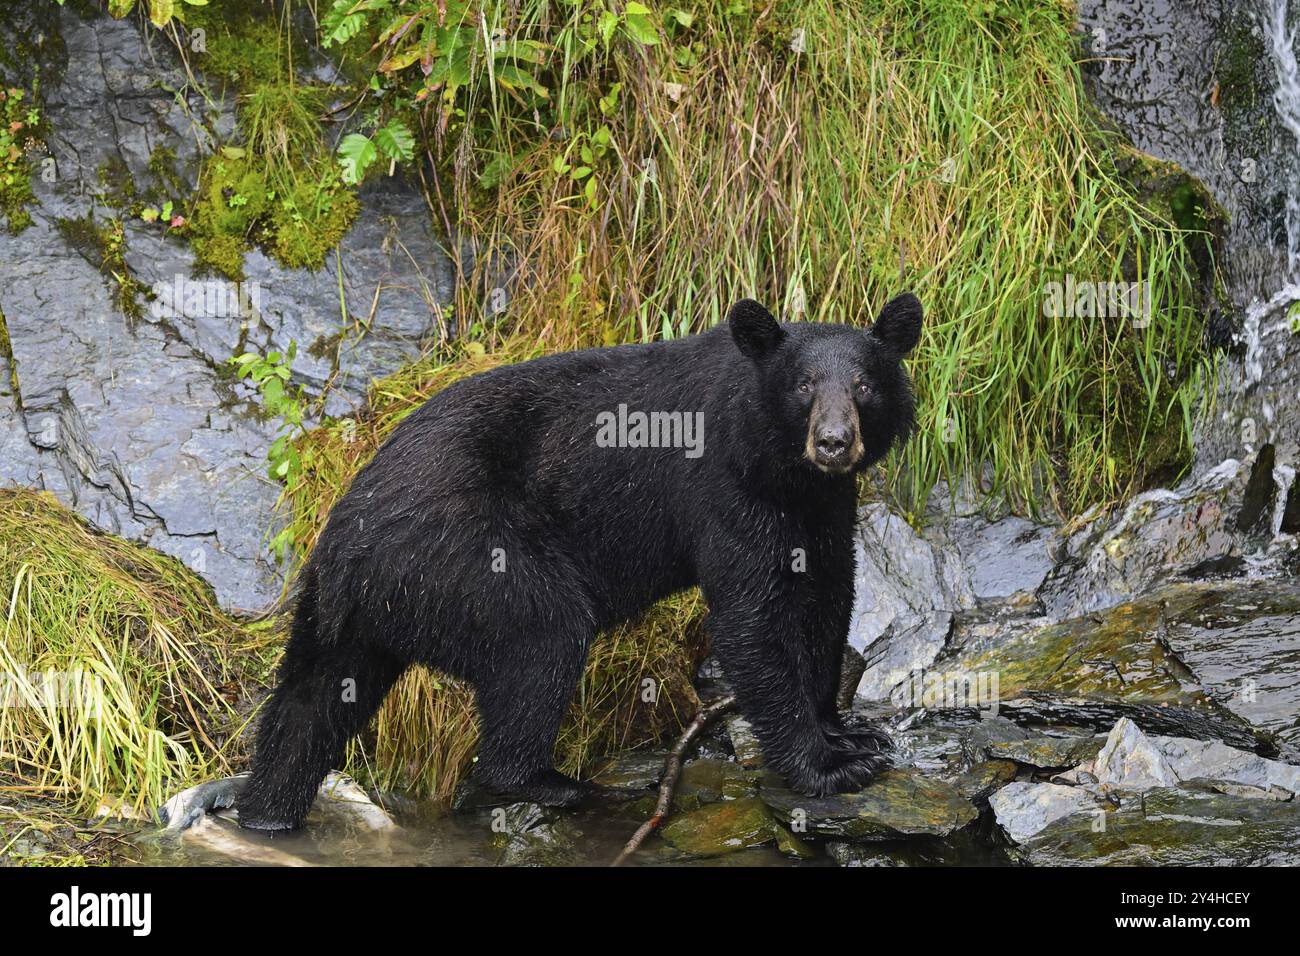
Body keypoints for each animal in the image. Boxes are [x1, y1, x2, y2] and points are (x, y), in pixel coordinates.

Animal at [235, 293, 923, 831]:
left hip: (350, 614)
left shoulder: (823, 504)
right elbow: (752, 618)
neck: (785, 467)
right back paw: (550, 781)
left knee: (309, 705)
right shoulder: (727, 488)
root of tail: (344, 543)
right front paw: (829, 764)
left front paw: (845, 730)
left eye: (864, 385)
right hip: (466, 554)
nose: (833, 442)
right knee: (544, 636)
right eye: (803, 385)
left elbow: (828, 595)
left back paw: (266, 810)